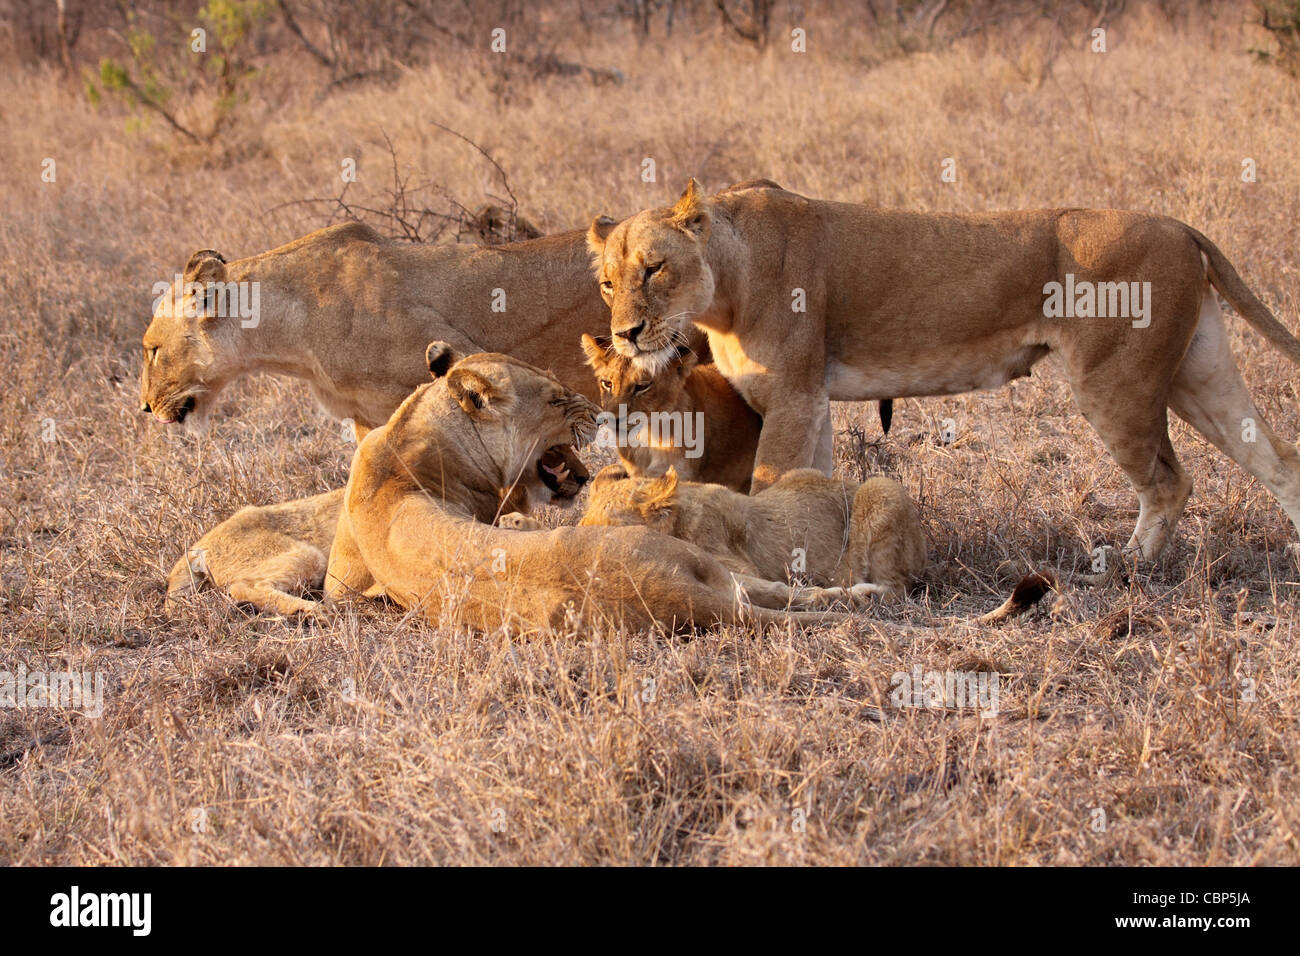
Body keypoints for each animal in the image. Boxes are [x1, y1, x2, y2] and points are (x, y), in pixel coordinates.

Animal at [325, 345, 853, 633]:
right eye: (556, 399)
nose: (601, 416)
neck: (408, 434)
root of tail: (678, 595)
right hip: (703, 565)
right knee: (784, 591)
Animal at [588, 179, 1300, 560]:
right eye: (607, 282)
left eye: (654, 268)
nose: (625, 334)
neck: (726, 284)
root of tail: (1179, 225)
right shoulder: (812, 398)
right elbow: (815, 480)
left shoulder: (790, 396)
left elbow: (768, 486)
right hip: (1197, 372)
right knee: (1278, 457)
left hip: (1116, 383)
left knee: (1170, 483)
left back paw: (1130, 569)